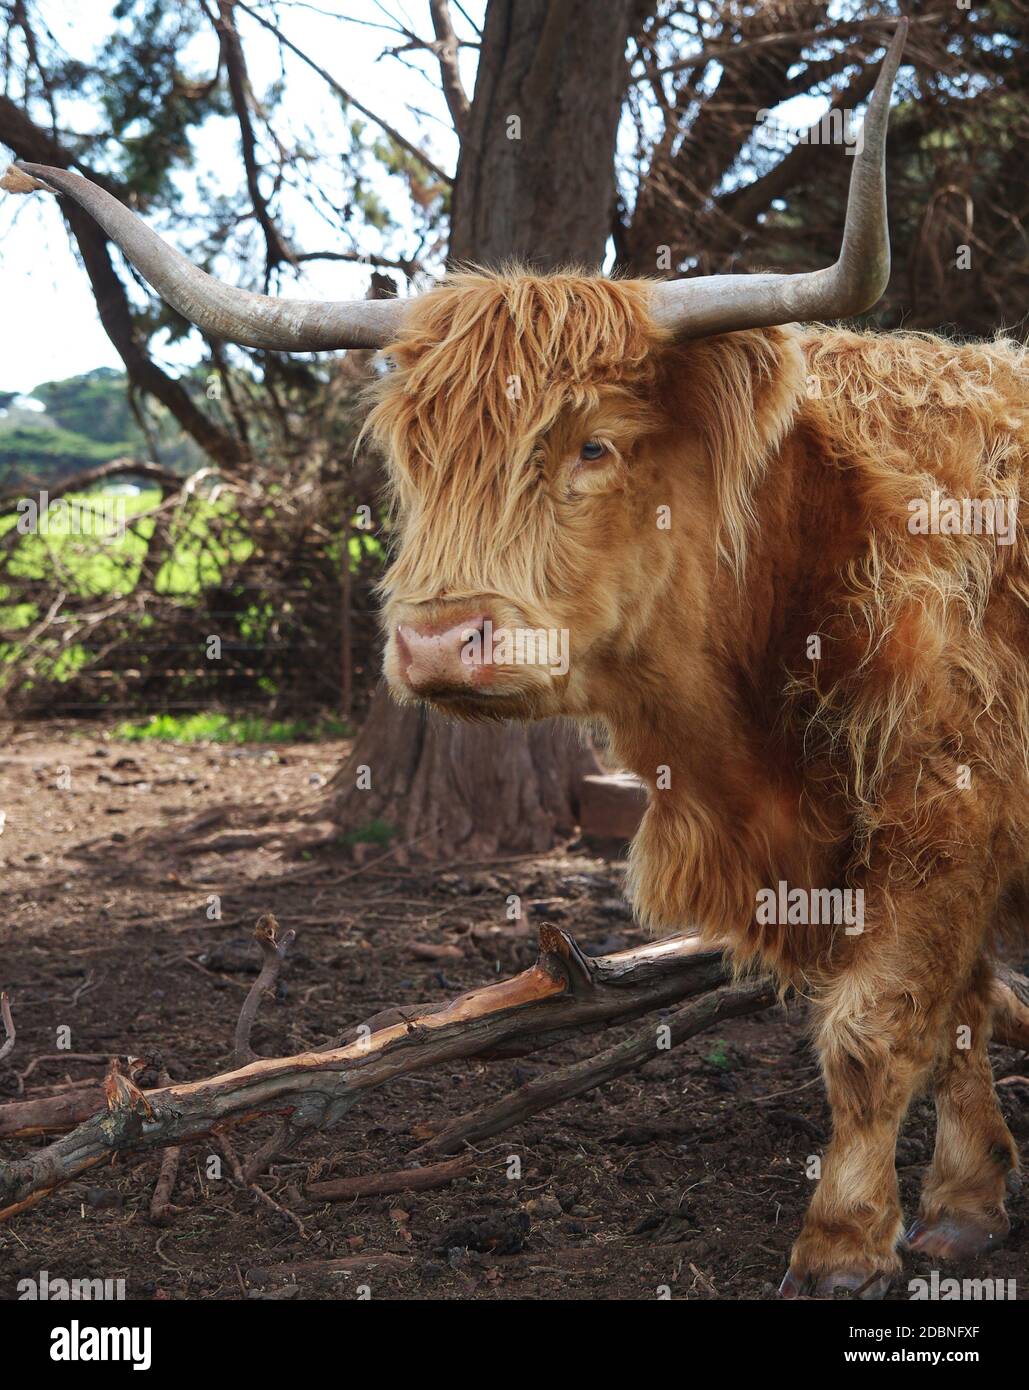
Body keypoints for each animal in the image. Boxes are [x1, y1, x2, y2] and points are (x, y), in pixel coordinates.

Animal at [8, 21, 1027, 1298]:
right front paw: (965, 1203)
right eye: (413, 455)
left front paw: (843, 1240)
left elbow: (877, 1025)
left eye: (595, 445)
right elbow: (961, 1008)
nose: (440, 641)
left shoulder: (946, 804)